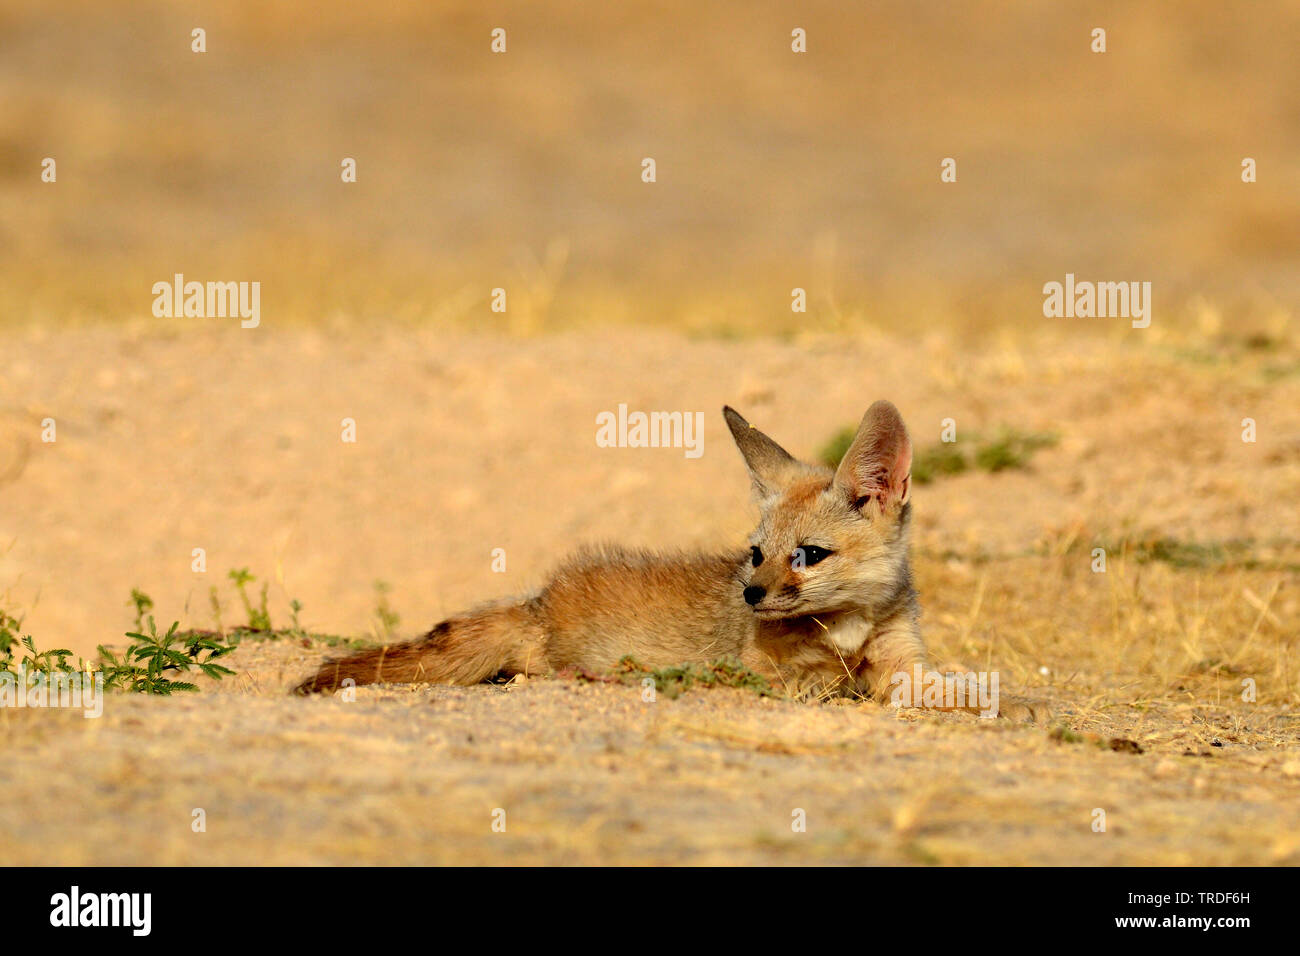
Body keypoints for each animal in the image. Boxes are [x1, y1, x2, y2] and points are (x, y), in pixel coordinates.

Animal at [293, 400, 1030, 717]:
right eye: (755, 554)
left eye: (808, 556)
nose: (751, 596)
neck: (847, 629)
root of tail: (543, 599)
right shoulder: (767, 674)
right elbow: (822, 685)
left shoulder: (908, 665)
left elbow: (955, 687)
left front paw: (1012, 701)